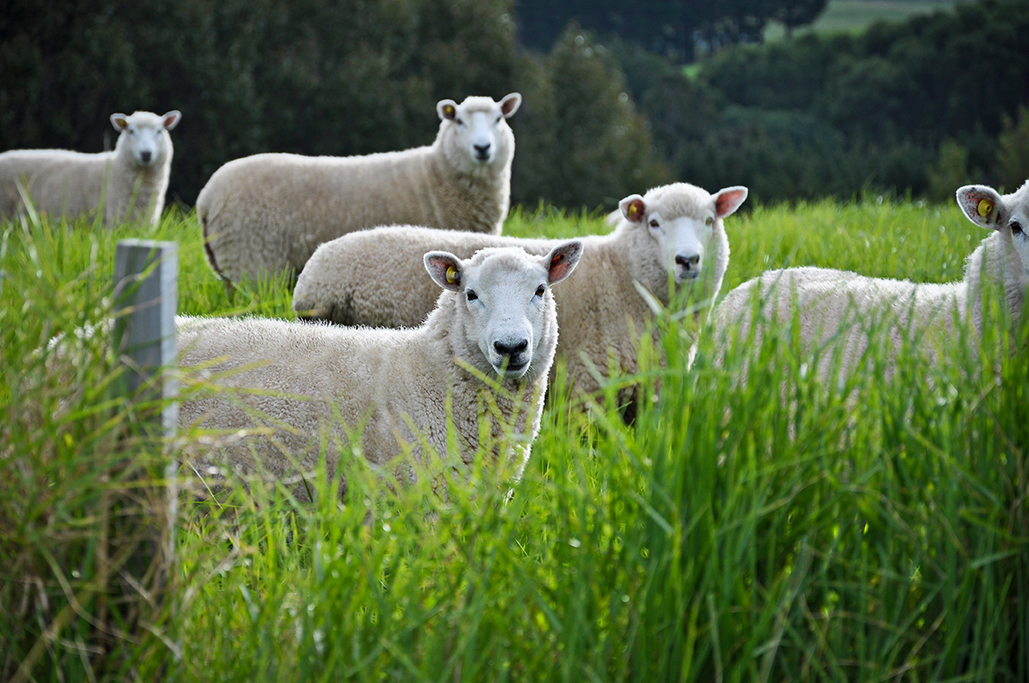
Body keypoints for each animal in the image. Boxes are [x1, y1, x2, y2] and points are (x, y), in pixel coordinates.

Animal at [196, 93, 522, 285]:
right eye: (459, 121)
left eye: (498, 119)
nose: (483, 148)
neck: (438, 174)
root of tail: (206, 198)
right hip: (252, 259)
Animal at [292, 182, 749, 414]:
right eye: (653, 223)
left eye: (709, 220)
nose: (687, 260)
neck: (624, 277)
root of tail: (316, 265)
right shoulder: (587, 388)